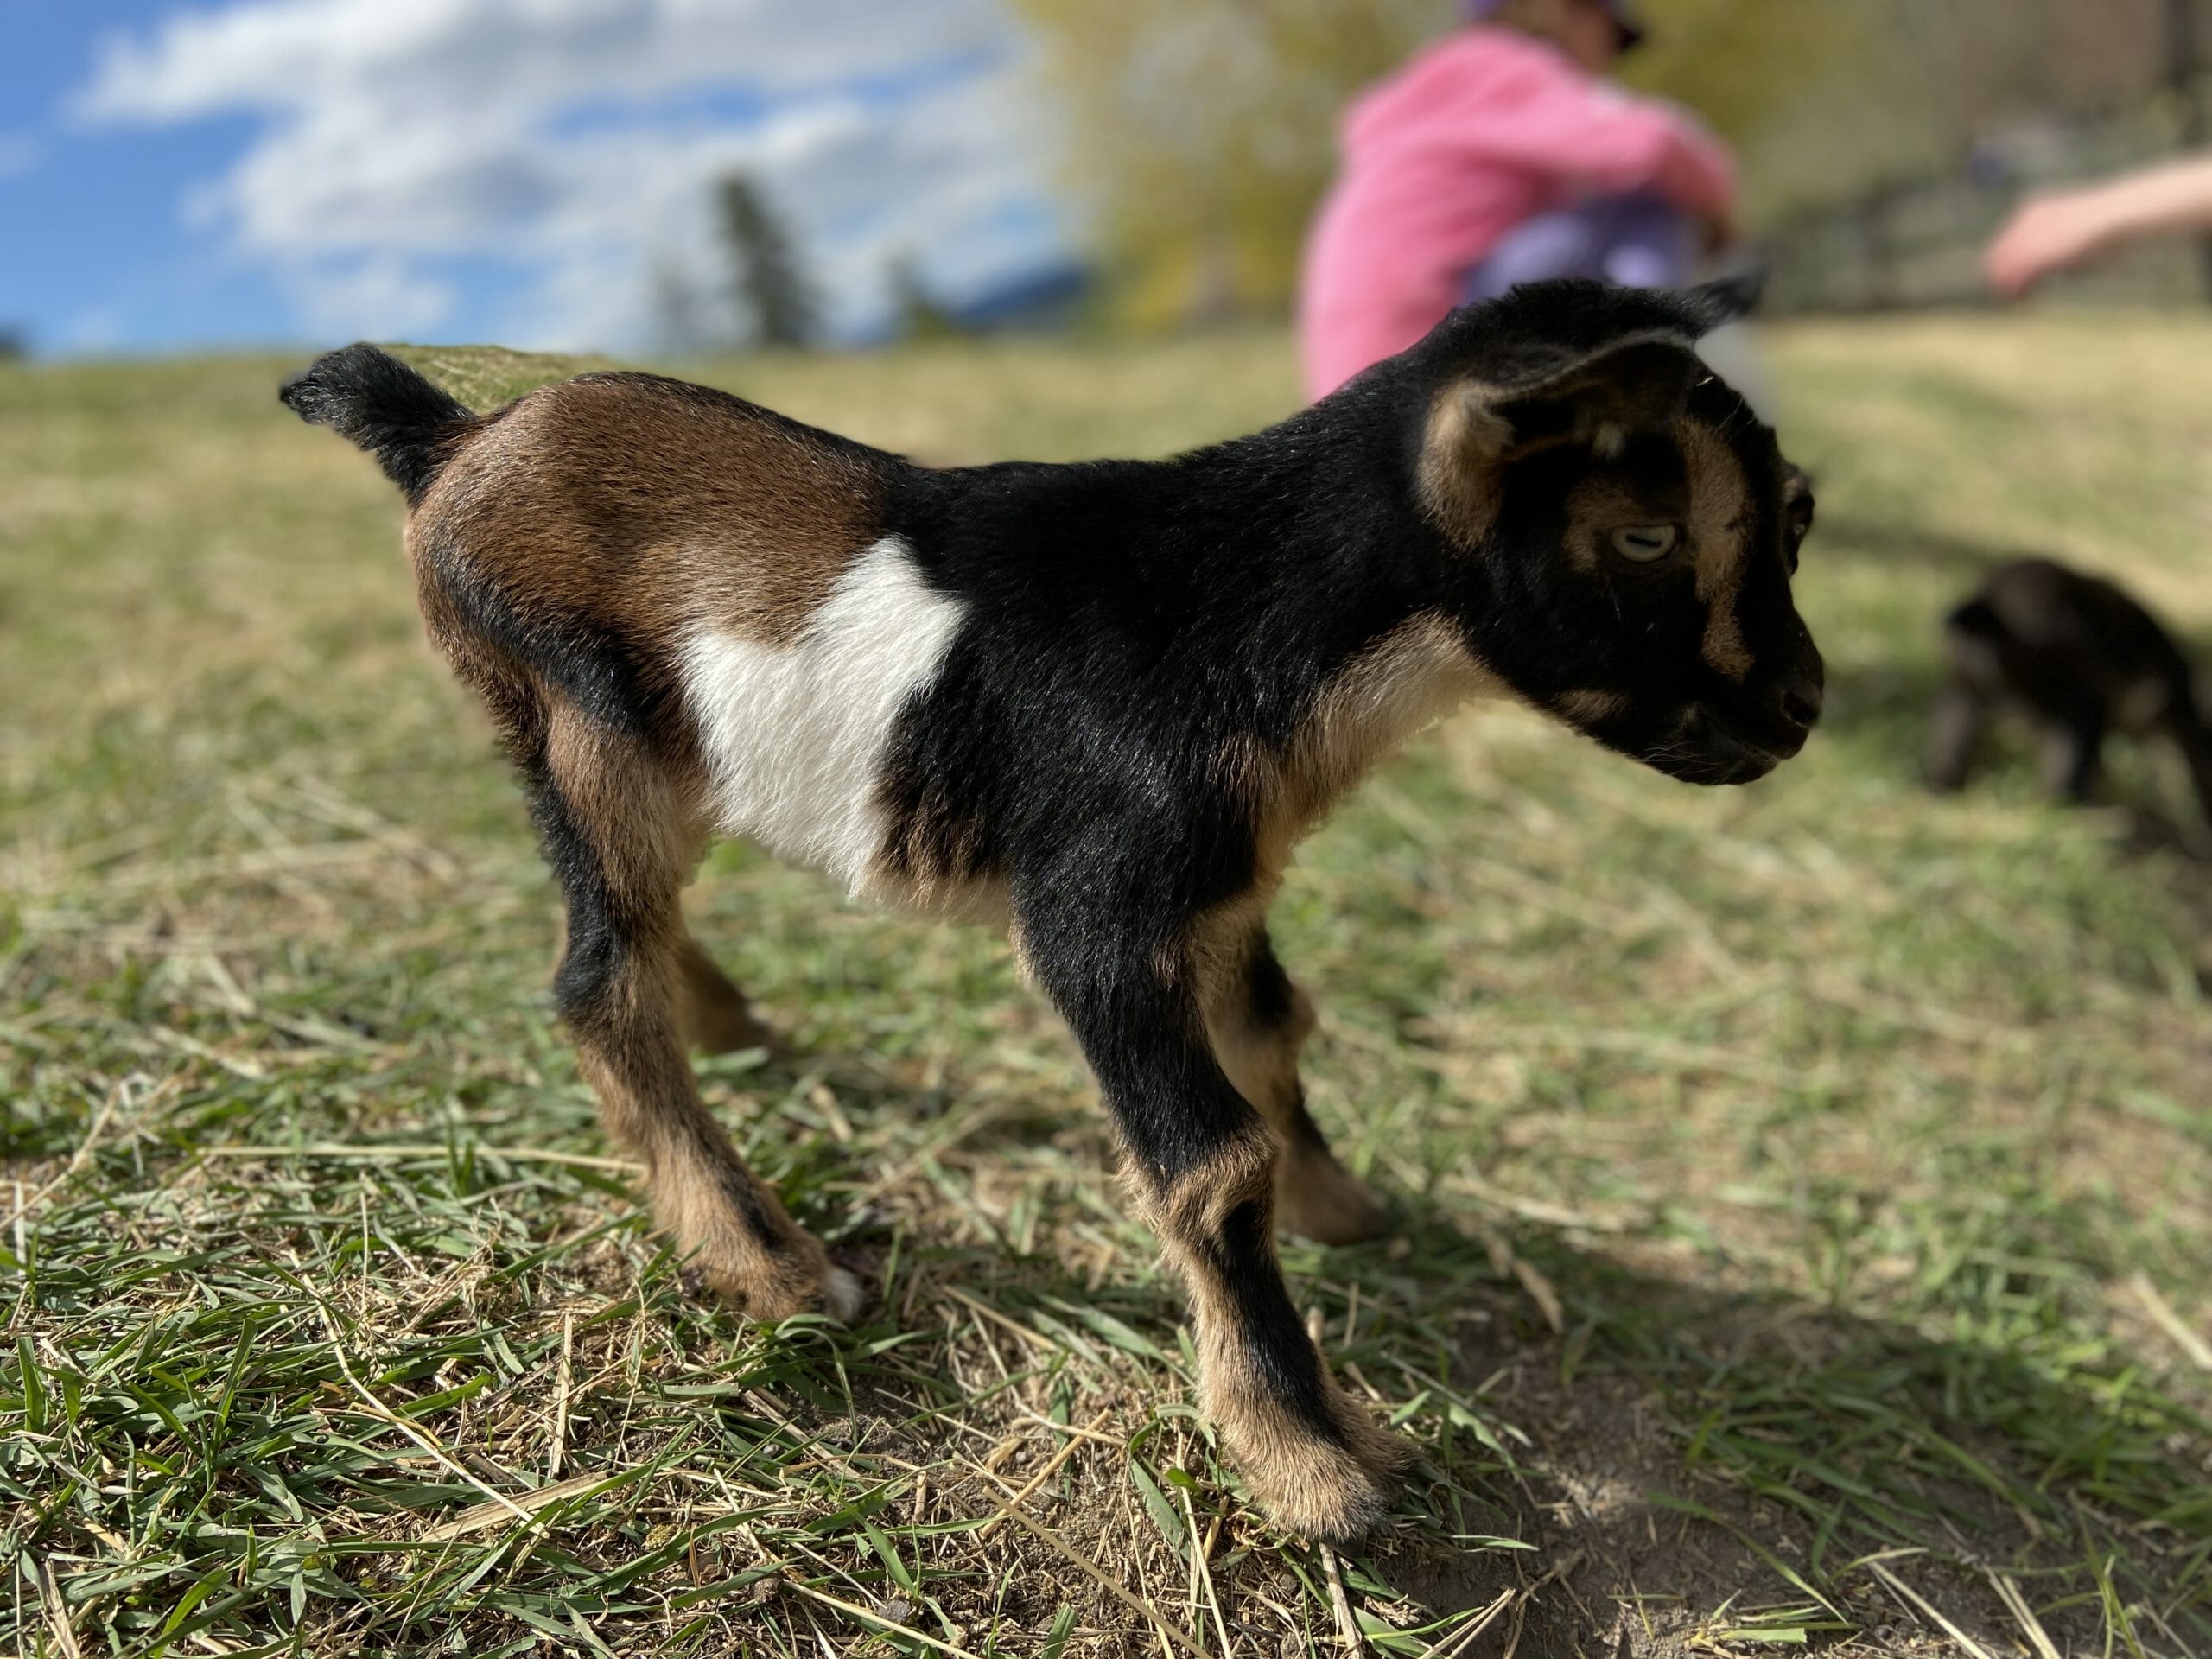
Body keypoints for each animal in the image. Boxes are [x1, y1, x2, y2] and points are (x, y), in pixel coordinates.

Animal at [280, 278, 1824, 1543]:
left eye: (1797, 514)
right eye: (1645, 533)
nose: (1801, 710)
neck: (1236, 612)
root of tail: (450, 438)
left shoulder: (1220, 889)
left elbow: (1274, 1032)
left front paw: (1341, 1204)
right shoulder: (1101, 917)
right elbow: (1209, 1160)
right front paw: (1313, 1468)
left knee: (634, 941)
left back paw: (733, 1030)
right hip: (573, 720)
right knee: (596, 978)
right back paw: (775, 1267)